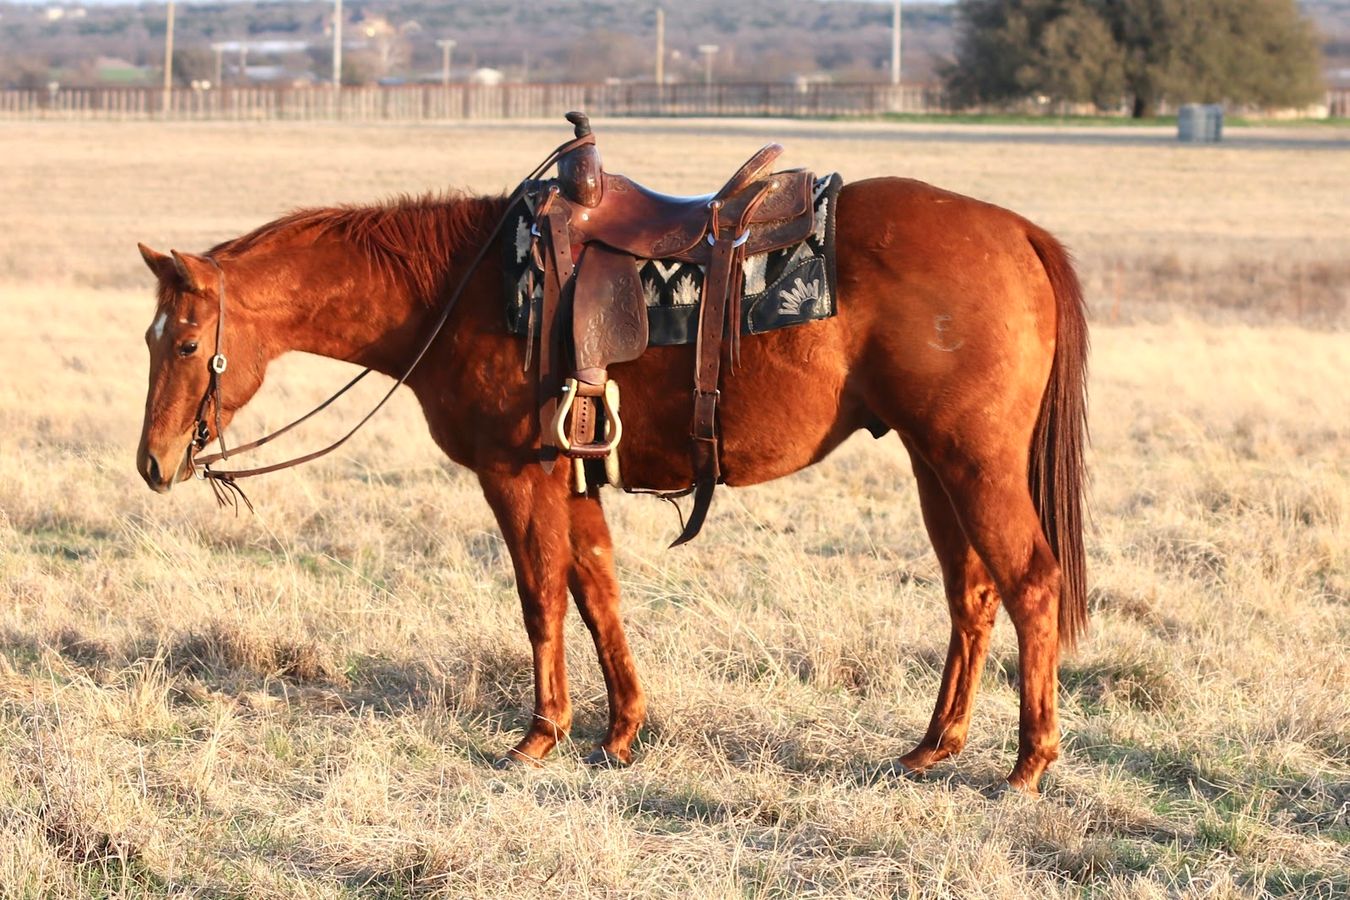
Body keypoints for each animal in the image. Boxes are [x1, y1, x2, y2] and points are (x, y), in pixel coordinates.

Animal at [134, 175, 1088, 794]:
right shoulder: (576, 478)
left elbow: (540, 601)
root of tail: (1019, 234)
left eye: (185, 342)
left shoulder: (518, 476)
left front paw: (540, 734)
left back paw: (1028, 763)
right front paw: (621, 731)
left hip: (972, 462)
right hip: (935, 465)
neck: (462, 289)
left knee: (1032, 582)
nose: (153, 461)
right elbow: (597, 593)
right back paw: (934, 747)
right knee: (971, 594)